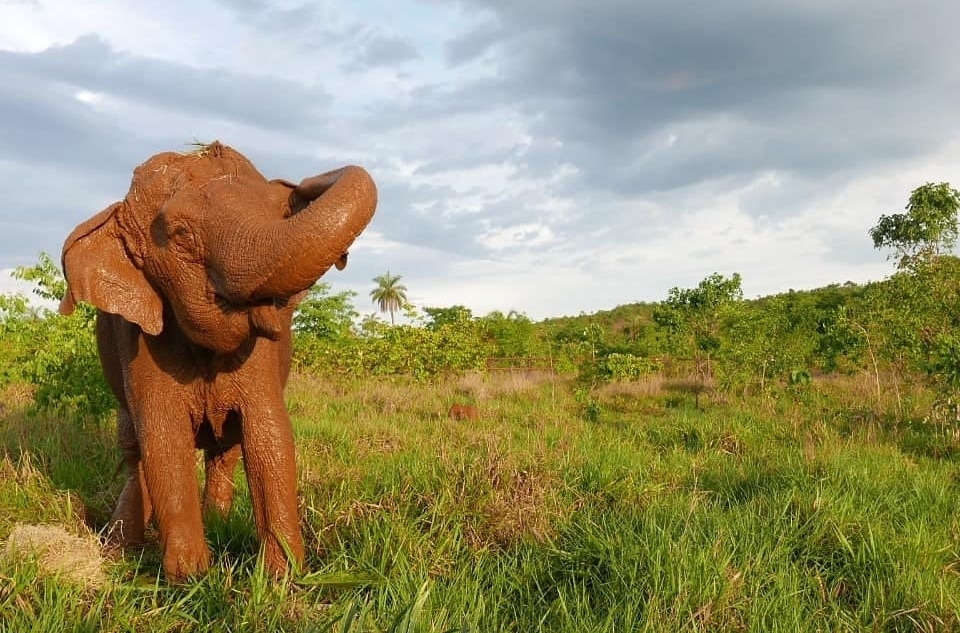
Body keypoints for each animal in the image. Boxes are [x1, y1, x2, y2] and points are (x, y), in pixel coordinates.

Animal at [58, 141, 378, 580]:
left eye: (279, 211)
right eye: (180, 234)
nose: (307, 183)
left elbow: (269, 435)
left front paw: (281, 579)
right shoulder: (136, 336)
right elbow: (164, 438)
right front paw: (191, 579)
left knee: (223, 451)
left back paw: (215, 524)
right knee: (134, 449)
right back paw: (122, 547)